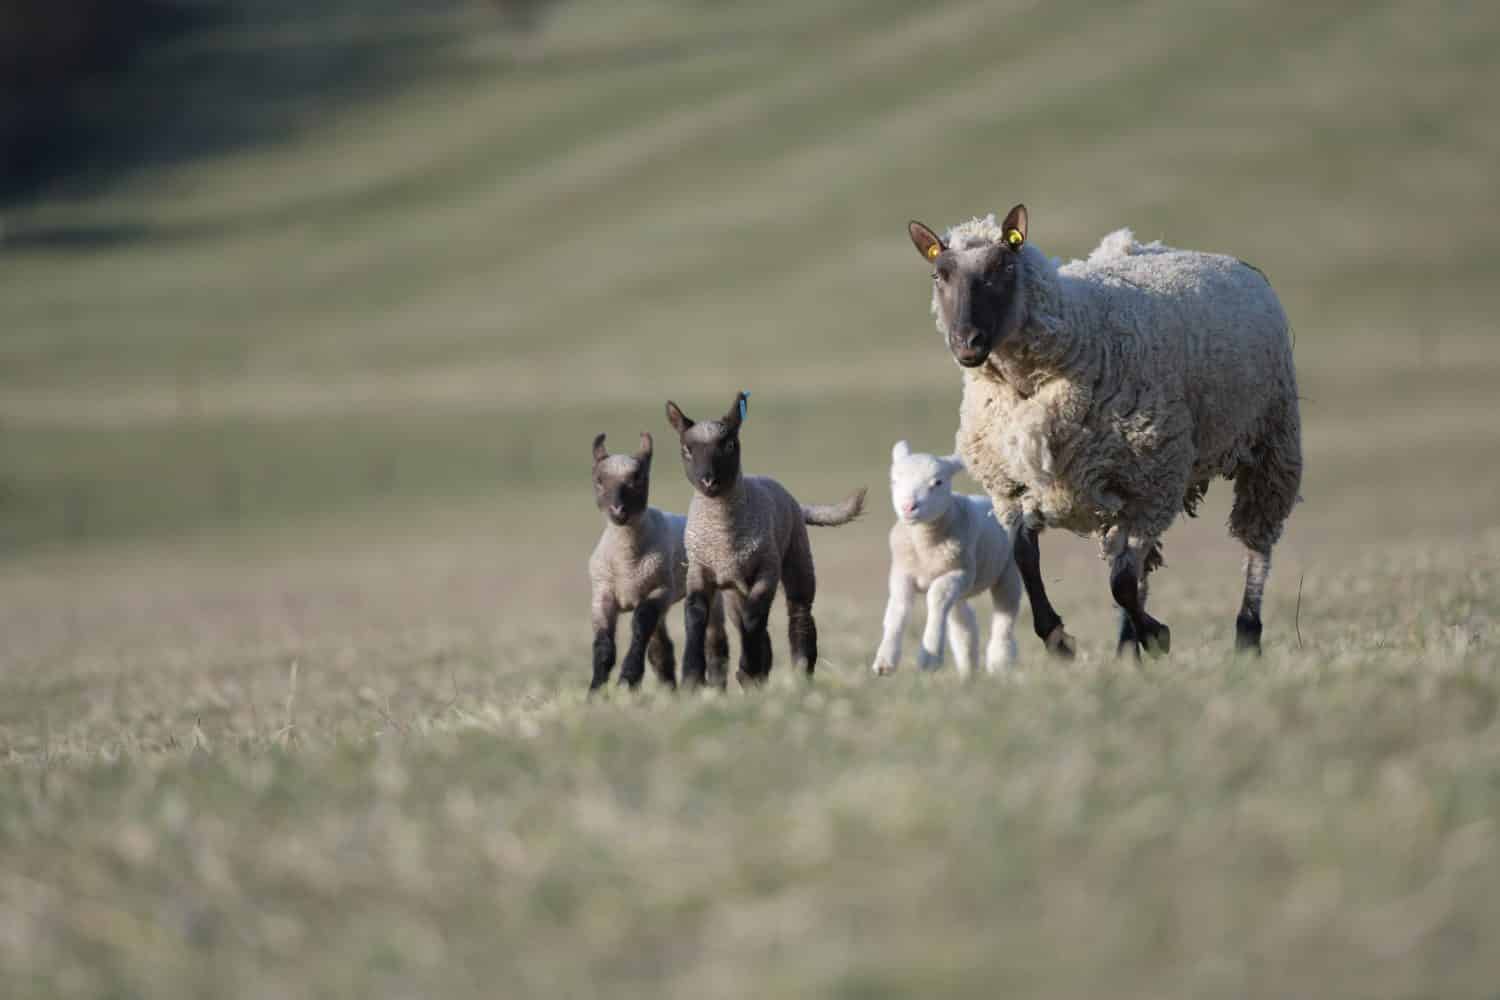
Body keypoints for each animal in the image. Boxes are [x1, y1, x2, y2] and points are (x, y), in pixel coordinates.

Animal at [588, 431, 728, 691]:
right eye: (599, 480)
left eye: (638, 478)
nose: (618, 510)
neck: (627, 563)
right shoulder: (602, 597)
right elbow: (603, 645)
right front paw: (595, 691)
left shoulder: (658, 590)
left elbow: (640, 626)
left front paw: (627, 680)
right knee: (662, 650)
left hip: (708, 590)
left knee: (715, 642)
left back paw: (715, 687)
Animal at [664, 392, 866, 688]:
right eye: (687, 449)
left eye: (729, 444)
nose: (709, 481)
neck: (722, 535)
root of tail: (797, 504)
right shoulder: (700, 571)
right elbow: (696, 615)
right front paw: (692, 677)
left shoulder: (766, 570)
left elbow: (753, 617)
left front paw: (748, 667)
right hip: (735, 590)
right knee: (752, 624)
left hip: (796, 559)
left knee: (798, 616)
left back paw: (799, 673)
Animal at [872, 441, 1023, 677]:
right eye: (894, 481)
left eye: (938, 482)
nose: (908, 507)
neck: (925, 547)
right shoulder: (902, 573)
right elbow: (898, 608)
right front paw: (886, 659)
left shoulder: (958, 573)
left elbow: (935, 598)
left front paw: (929, 657)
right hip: (962, 588)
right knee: (964, 626)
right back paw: (968, 671)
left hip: (1007, 569)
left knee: (1005, 616)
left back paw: (999, 662)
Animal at [905, 204, 1302, 656]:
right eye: (939, 274)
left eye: (1003, 267)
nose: (966, 343)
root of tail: (1232, 262)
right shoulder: (1013, 491)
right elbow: (1027, 563)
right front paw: (1058, 638)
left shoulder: (1151, 486)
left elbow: (1121, 584)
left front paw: (1157, 635)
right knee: (1136, 562)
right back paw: (1128, 646)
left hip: (1271, 439)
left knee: (1256, 541)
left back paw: (1246, 633)